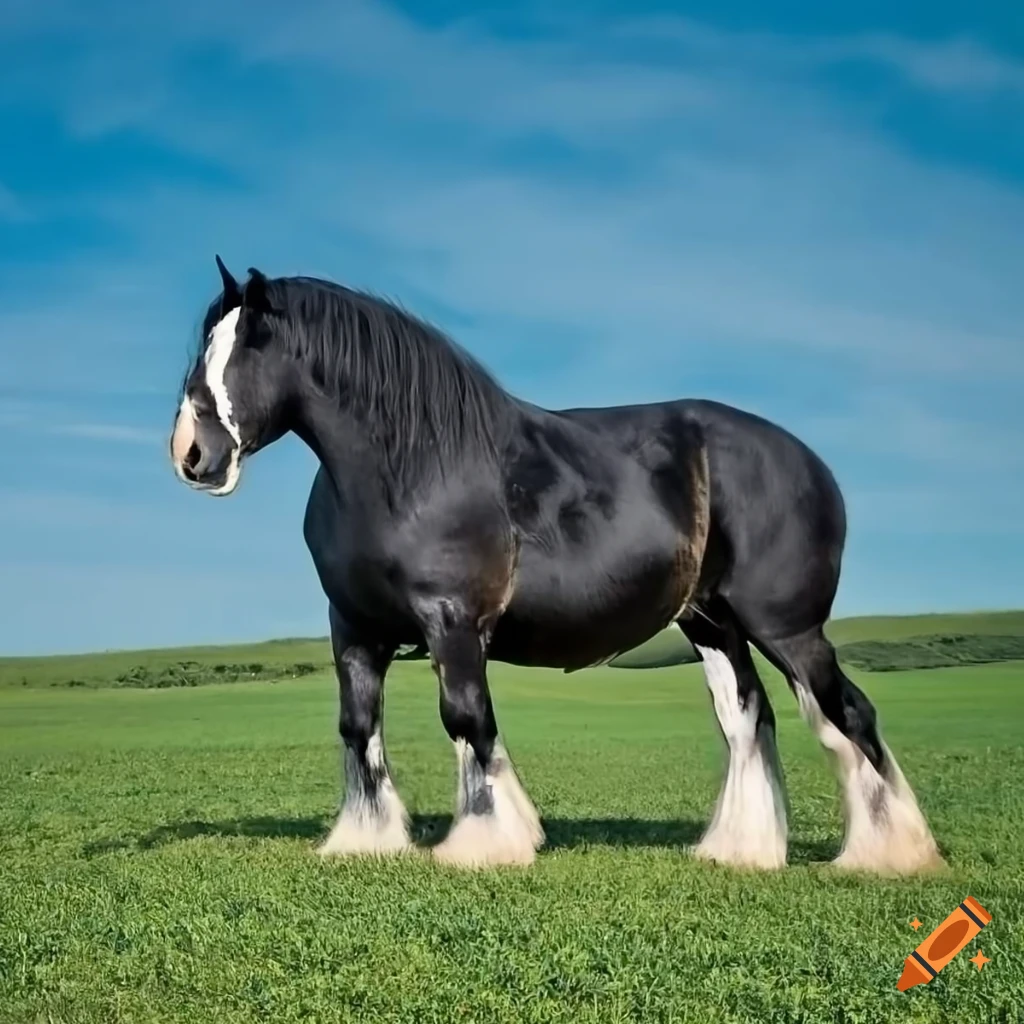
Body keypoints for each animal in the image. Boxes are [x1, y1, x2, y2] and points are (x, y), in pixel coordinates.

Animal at [168, 256, 944, 874]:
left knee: (848, 714)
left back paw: (890, 854)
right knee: (749, 719)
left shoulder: (453, 622)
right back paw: (742, 850)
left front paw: (487, 841)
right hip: (714, 625)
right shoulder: (355, 629)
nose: (192, 454)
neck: (412, 462)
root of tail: (809, 463)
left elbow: (467, 719)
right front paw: (366, 840)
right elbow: (359, 727)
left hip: (786, 628)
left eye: (247, 348)